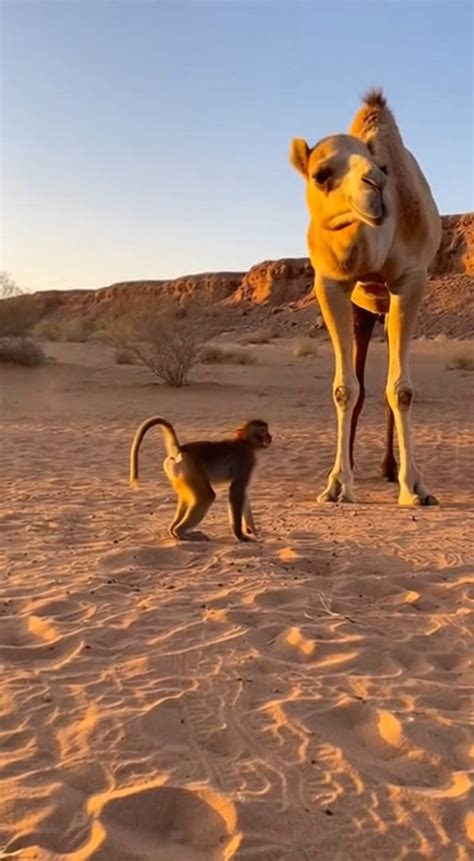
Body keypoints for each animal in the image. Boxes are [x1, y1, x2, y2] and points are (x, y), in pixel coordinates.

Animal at [289, 89, 441, 506]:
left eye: (384, 170)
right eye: (321, 174)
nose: (374, 186)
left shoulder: (411, 280)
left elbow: (401, 390)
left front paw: (415, 487)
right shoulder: (330, 282)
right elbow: (345, 388)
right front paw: (337, 484)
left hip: (387, 306)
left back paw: (390, 469)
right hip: (363, 310)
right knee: (357, 381)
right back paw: (359, 464)